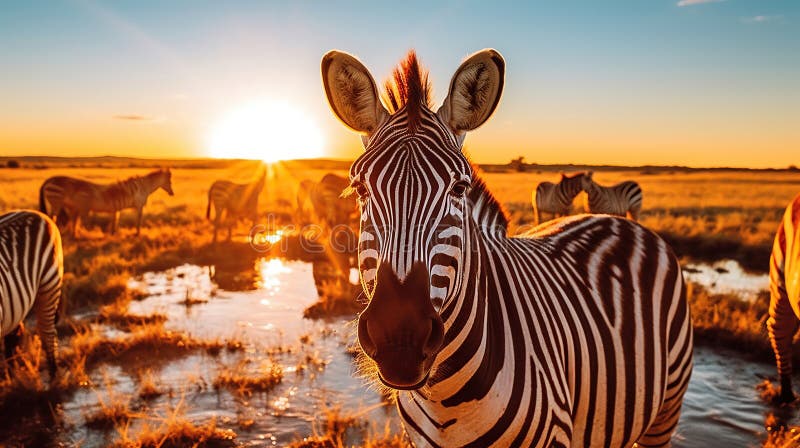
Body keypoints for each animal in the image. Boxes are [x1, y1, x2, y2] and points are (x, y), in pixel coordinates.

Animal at [0, 210, 64, 377]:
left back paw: (54, 376)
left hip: (49, 285)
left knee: (47, 333)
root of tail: (37, 213)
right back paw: (12, 374)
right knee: (14, 333)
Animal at [39, 168, 175, 237]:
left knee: (73, 220)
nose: (172, 193)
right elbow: (138, 221)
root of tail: (49, 180)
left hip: (70, 206)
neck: (142, 187)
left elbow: (115, 221)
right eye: (169, 181)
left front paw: (113, 234)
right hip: (57, 202)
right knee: (53, 218)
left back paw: (76, 236)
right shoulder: (139, 205)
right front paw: (137, 234)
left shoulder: (116, 209)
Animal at [321, 48, 693, 447]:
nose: (400, 340)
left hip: (666, 409)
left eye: (460, 188)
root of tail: (618, 220)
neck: (445, 401)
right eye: (360, 188)